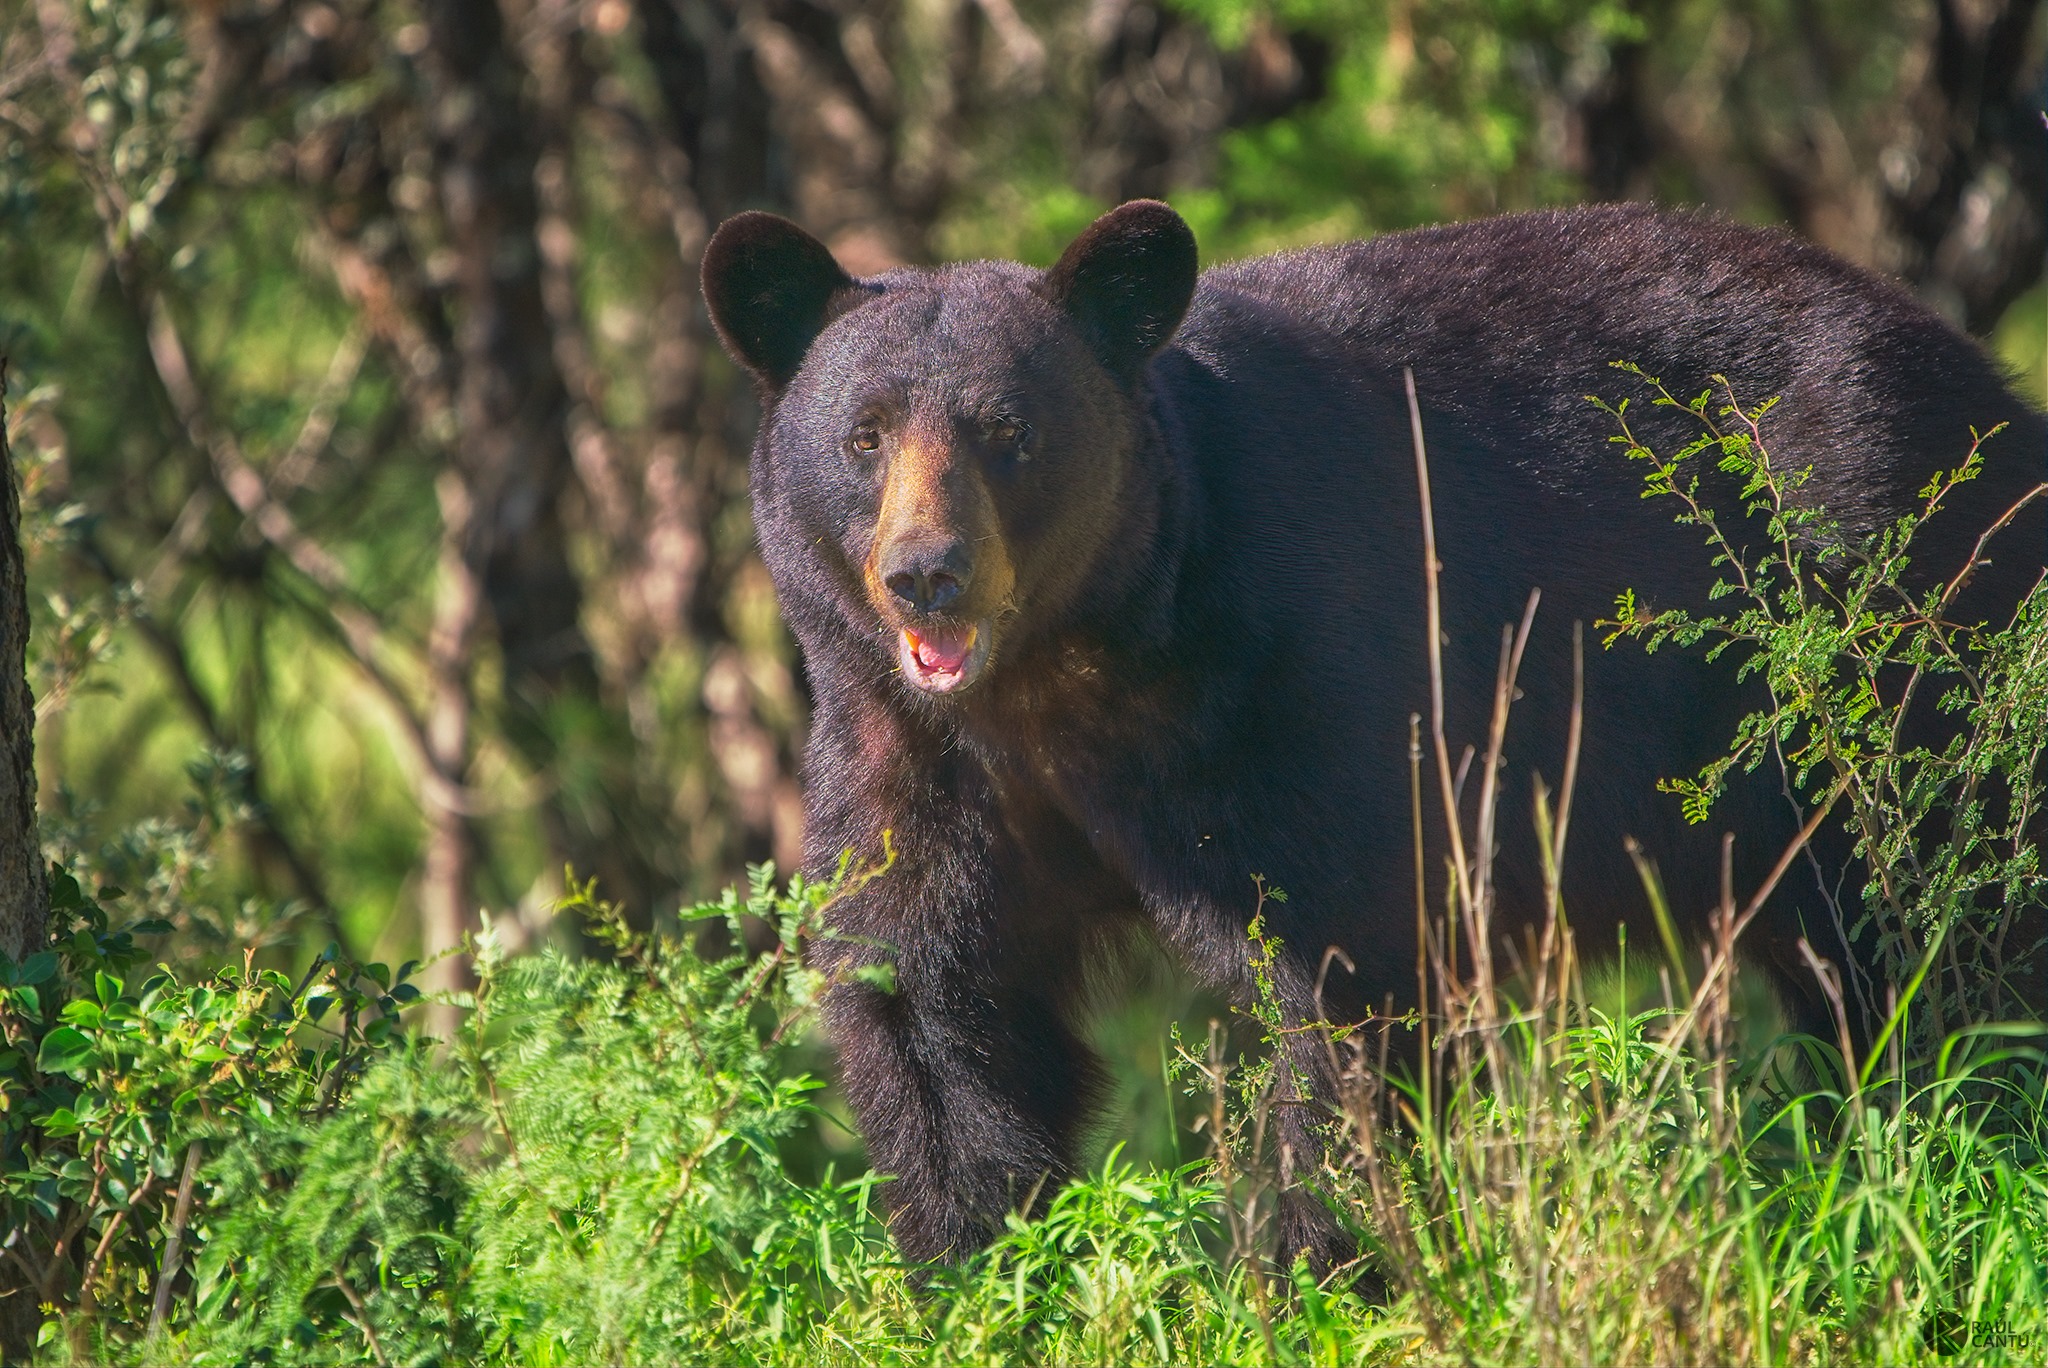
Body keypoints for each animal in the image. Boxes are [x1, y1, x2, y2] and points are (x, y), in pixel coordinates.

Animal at [699, 199, 2046, 1271]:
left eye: (1007, 430)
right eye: (864, 436)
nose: (927, 575)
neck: (1065, 677)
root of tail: (1984, 383)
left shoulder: (1286, 677)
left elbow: (1340, 974)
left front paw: (1320, 1258)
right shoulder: (910, 748)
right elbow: (933, 995)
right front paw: (976, 1268)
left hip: (1887, 623)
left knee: (1943, 916)